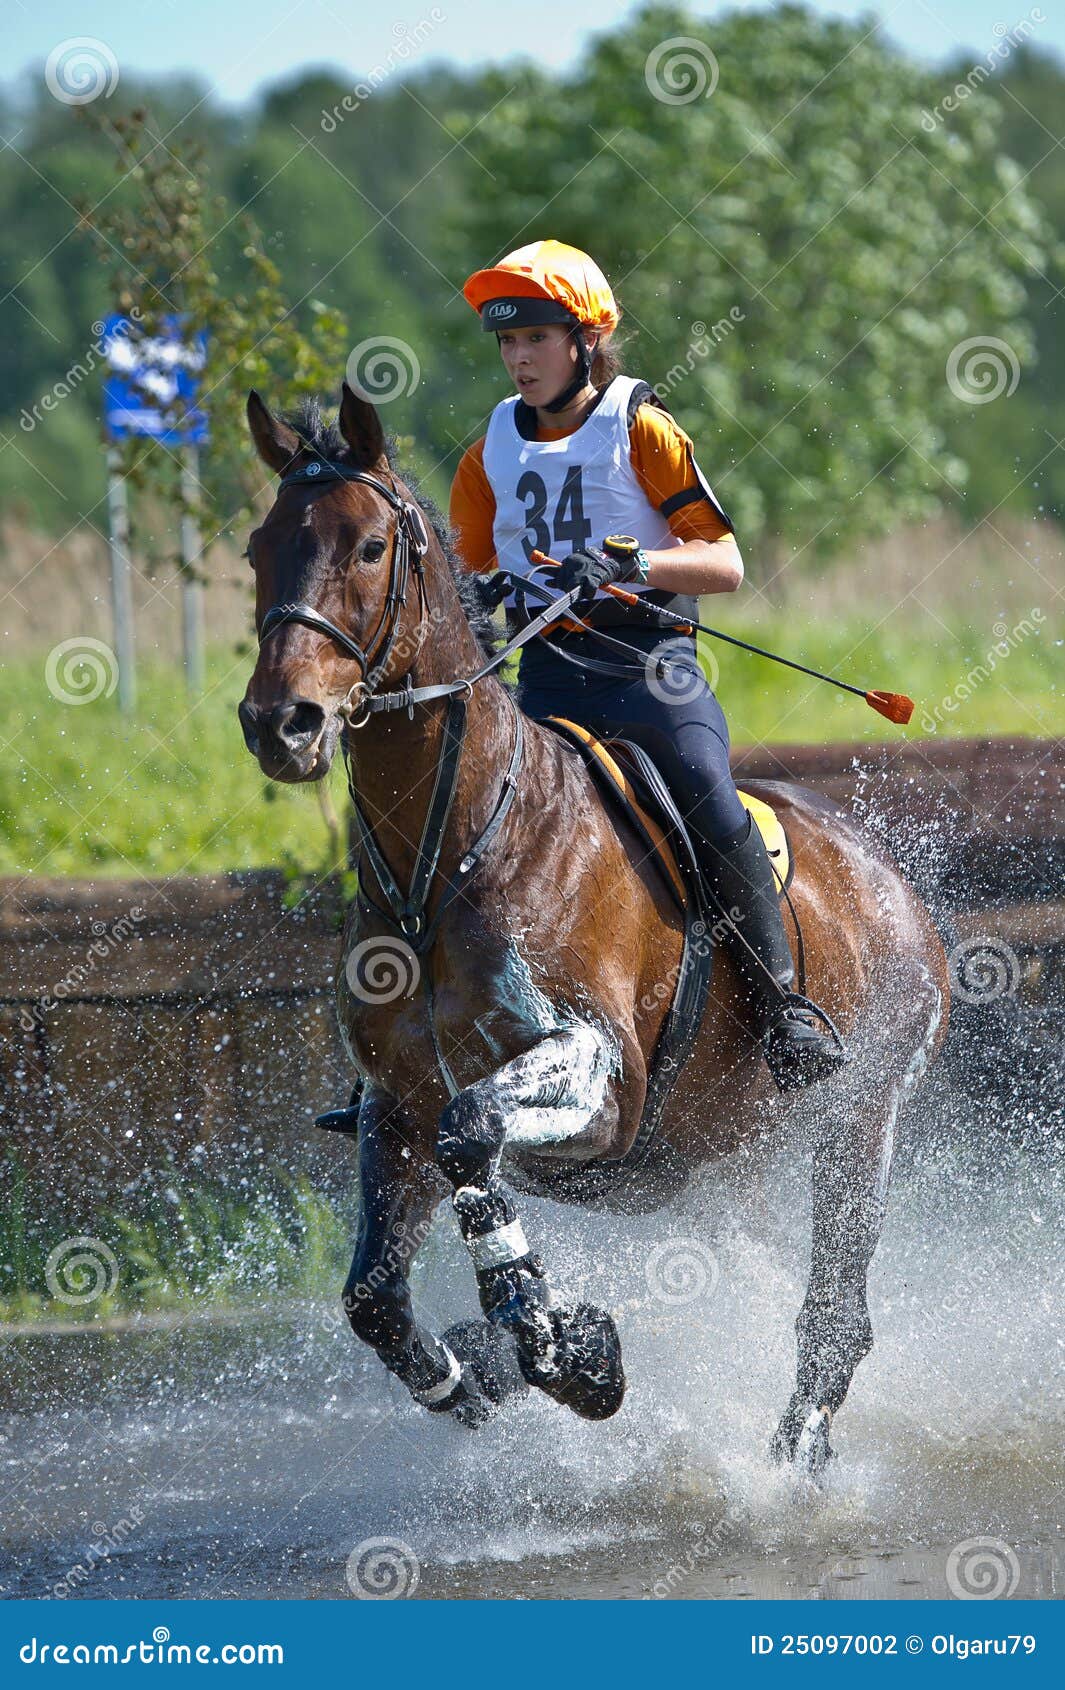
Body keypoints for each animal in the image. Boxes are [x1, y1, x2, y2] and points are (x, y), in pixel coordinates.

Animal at [238, 382, 951, 1475]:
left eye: (367, 546)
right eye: (256, 548)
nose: (283, 724)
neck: (448, 859)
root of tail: (895, 884)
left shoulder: (601, 1081)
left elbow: (473, 1134)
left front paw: (565, 1351)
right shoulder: (393, 1108)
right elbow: (374, 1297)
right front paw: (482, 1368)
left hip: (856, 1118)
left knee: (835, 1310)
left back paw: (789, 1459)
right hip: (726, 1160)